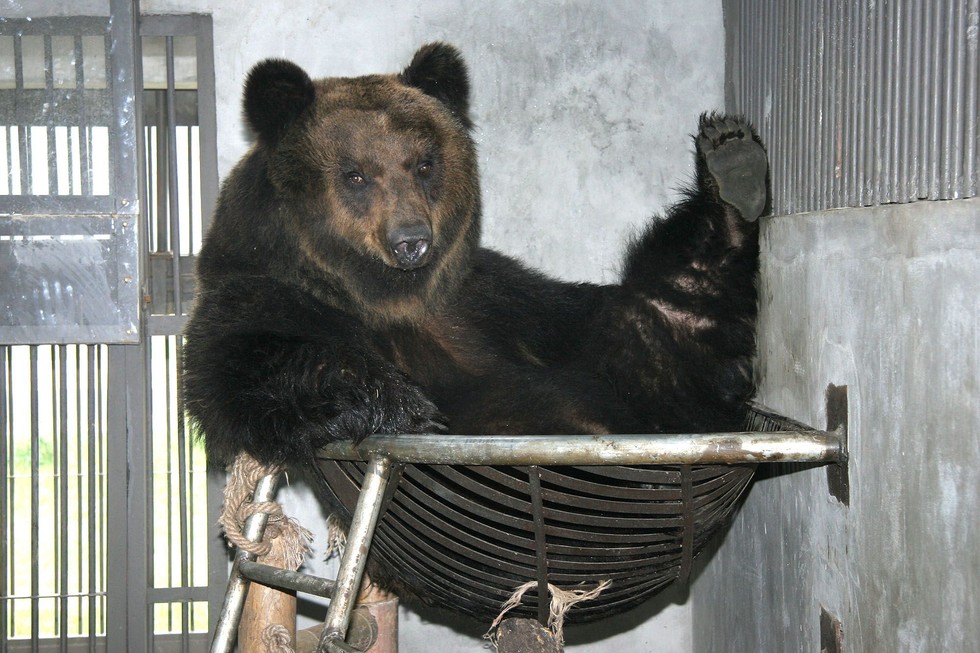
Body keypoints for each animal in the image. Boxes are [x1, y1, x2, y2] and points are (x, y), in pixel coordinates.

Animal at [181, 42, 769, 469]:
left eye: (423, 163)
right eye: (354, 174)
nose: (411, 239)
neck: (389, 297)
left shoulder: (498, 303)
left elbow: (647, 348)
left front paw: (731, 163)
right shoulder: (259, 290)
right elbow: (241, 373)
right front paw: (392, 401)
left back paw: (736, 174)